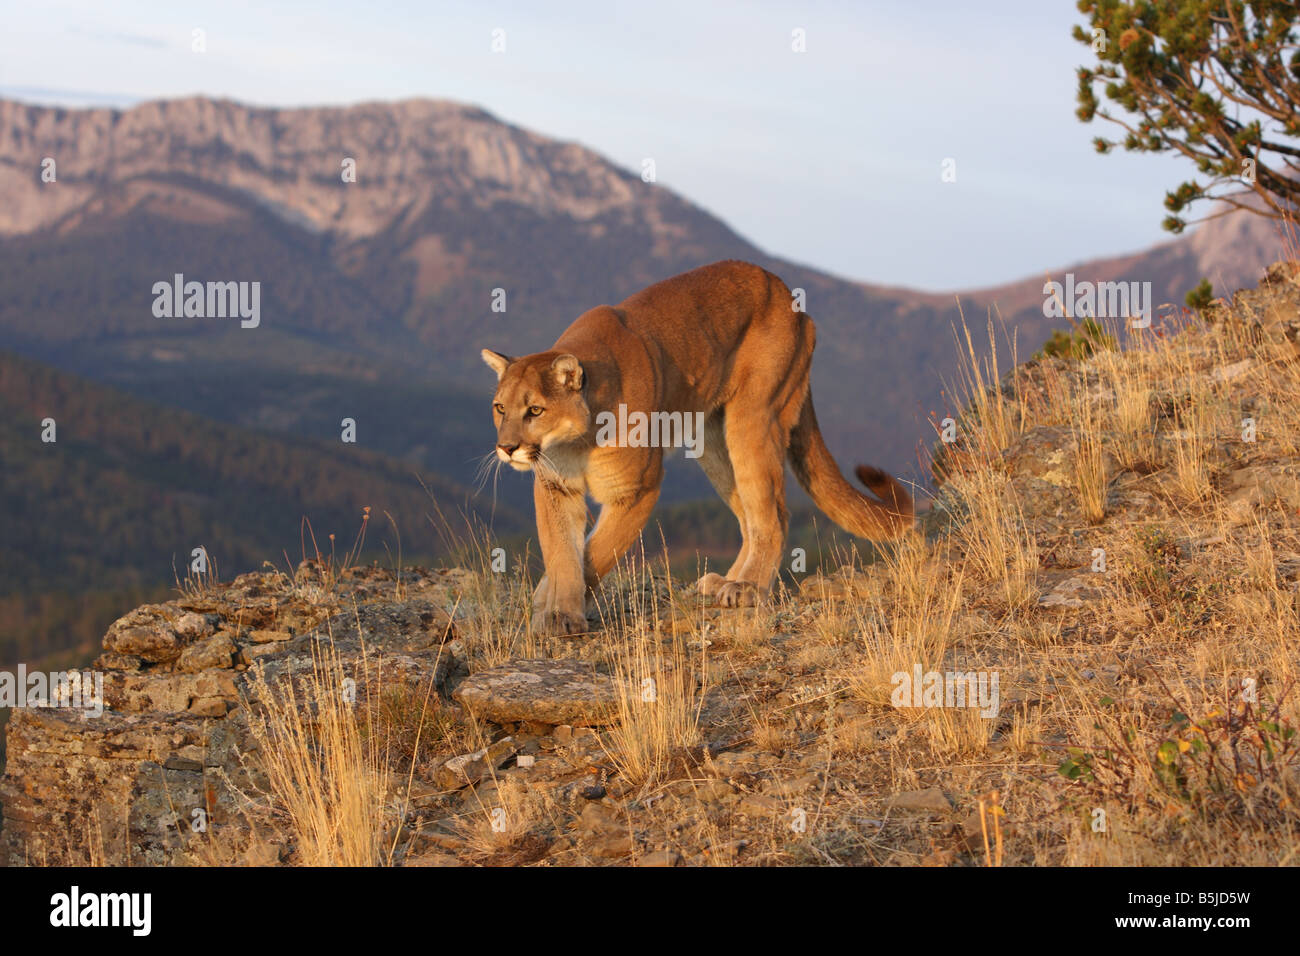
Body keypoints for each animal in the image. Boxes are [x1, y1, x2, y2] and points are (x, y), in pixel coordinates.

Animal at [481, 260, 913, 635]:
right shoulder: (554, 486)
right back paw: (727, 581)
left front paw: (561, 612)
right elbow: (562, 554)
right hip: (712, 441)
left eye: (535, 410)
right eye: (500, 407)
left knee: (774, 511)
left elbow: (594, 555)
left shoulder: (637, 489)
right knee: (751, 515)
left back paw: (747, 588)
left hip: (752, 418)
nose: (506, 447)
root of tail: (791, 299)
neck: (578, 440)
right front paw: (553, 607)